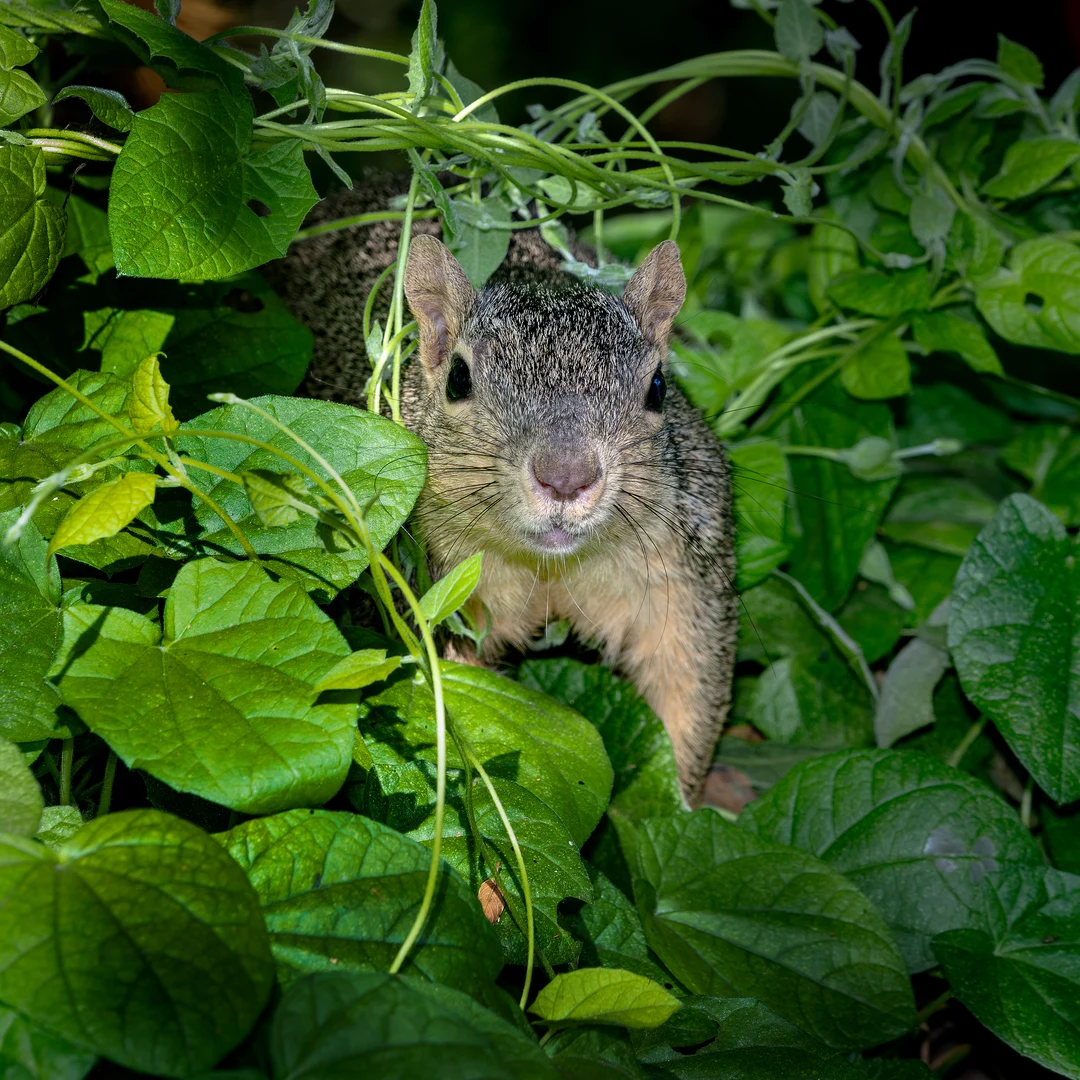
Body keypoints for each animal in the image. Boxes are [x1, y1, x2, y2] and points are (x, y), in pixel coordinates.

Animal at [266, 178, 738, 805]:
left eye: (659, 387)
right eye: (458, 378)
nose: (566, 476)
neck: (549, 569)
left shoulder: (681, 579)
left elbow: (688, 686)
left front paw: (681, 806)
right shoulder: (426, 593)